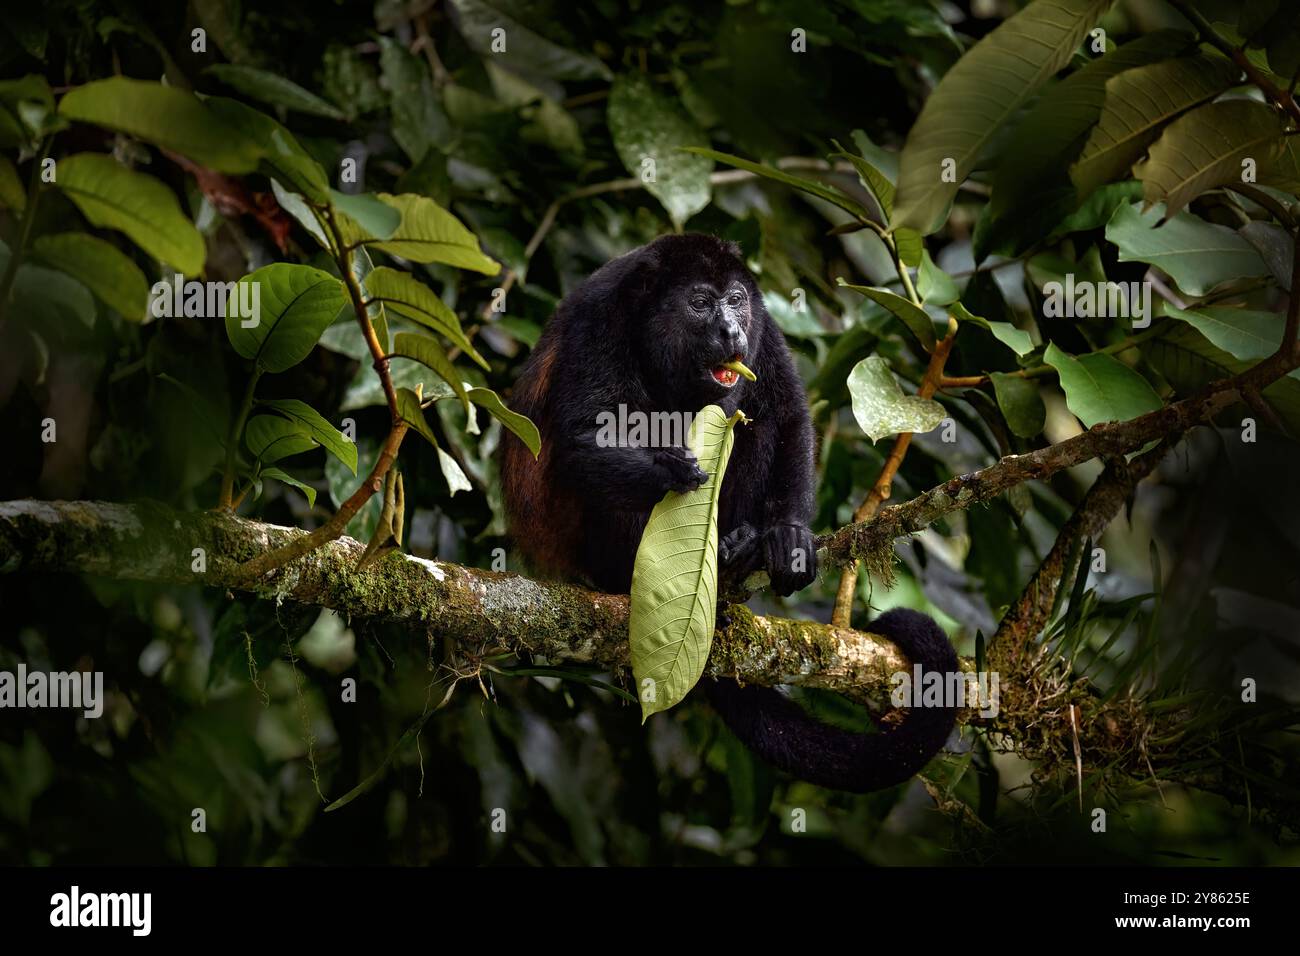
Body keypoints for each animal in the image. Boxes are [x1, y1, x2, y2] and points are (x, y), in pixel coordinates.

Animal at [501, 233, 958, 792]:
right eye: (700, 302)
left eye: (736, 301)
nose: (731, 329)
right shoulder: (600, 319)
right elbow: (582, 437)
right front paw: (670, 470)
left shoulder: (767, 329)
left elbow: (785, 412)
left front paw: (788, 536)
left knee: (752, 417)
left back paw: (741, 548)